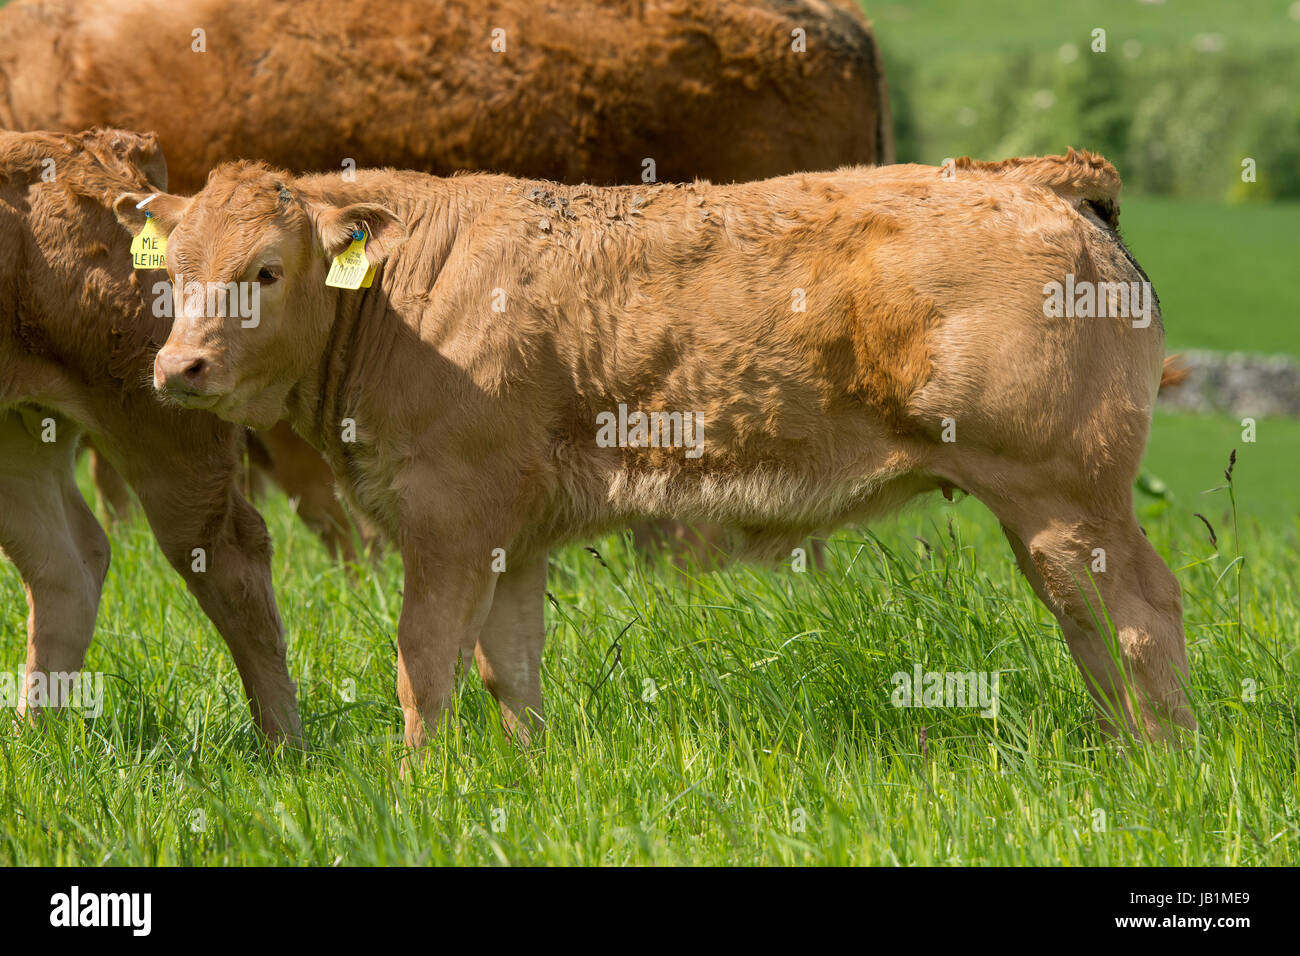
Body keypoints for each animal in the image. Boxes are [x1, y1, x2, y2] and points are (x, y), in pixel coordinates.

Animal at [0, 129, 300, 741]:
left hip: (164, 439)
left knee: (232, 563)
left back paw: (286, 744)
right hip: (20, 434)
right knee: (65, 566)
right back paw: (31, 742)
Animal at [114, 149, 1196, 756]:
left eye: (264, 269)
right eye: (172, 270)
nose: (180, 365)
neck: (400, 292)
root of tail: (1035, 178)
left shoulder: (448, 517)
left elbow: (422, 664)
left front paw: (419, 785)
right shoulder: (512, 534)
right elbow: (508, 668)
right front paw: (525, 777)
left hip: (1064, 489)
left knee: (1138, 613)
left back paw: (1164, 761)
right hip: (1052, 509)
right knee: (1087, 620)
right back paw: (1123, 751)